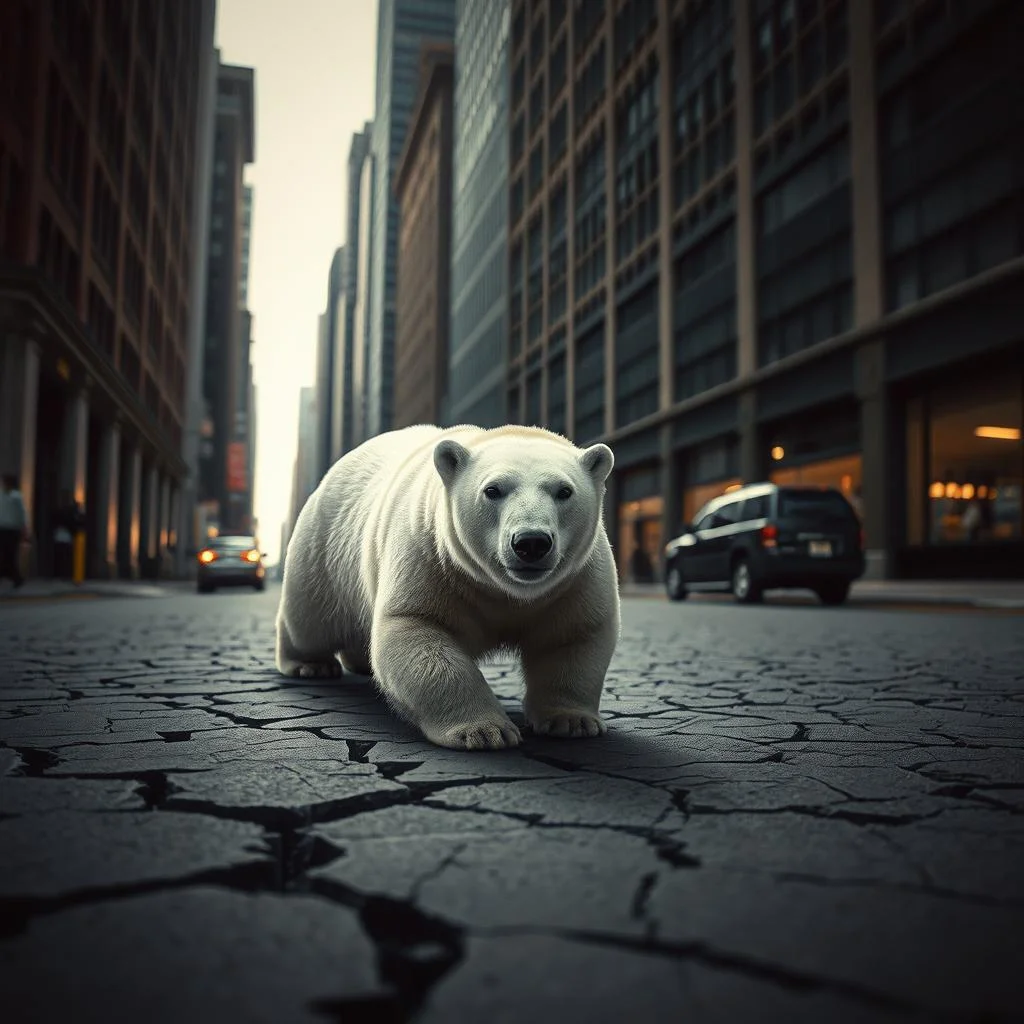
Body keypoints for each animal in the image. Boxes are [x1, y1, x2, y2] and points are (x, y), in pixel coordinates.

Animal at [275, 423, 620, 751]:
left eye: (564, 491)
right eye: (492, 490)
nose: (531, 542)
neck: (507, 589)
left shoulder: (574, 580)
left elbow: (573, 636)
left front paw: (572, 721)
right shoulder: (430, 554)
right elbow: (416, 631)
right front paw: (484, 731)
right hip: (326, 548)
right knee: (309, 621)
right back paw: (311, 665)